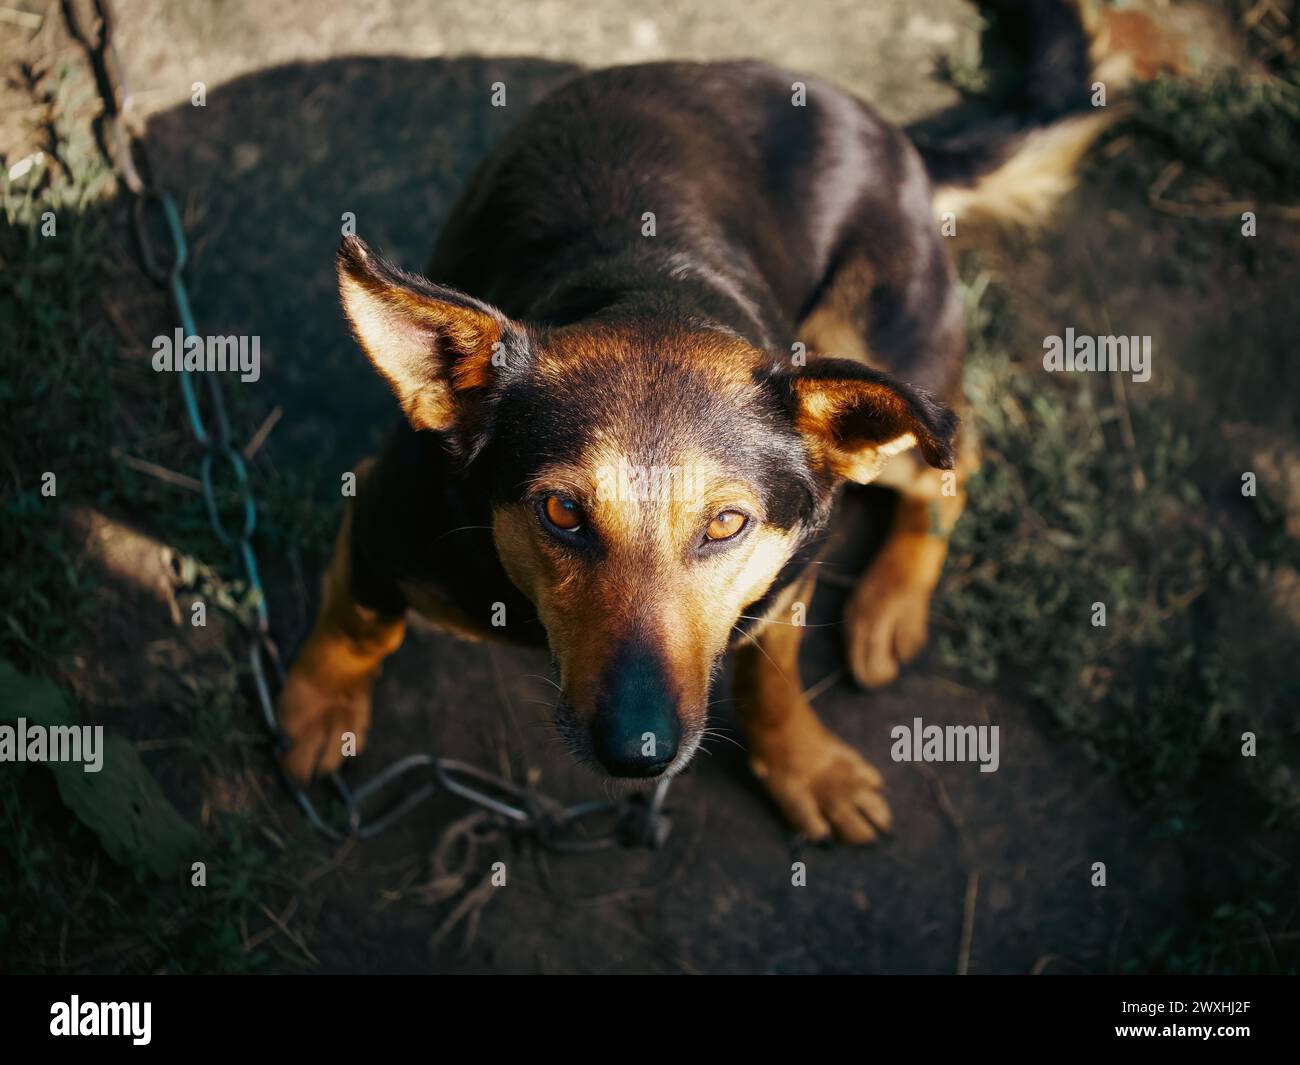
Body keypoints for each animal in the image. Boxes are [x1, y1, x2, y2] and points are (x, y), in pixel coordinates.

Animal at [274, 4, 1138, 847]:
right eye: (561, 511)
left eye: (727, 524)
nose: (639, 750)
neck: (646, 286)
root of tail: (888, 130)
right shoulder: (388, 512)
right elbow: (360, 621)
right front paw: (321, 706)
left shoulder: (789, 573)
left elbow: (772, 671)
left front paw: (803, 765)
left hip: (883, 374)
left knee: (958, 458)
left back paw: (889, 603)